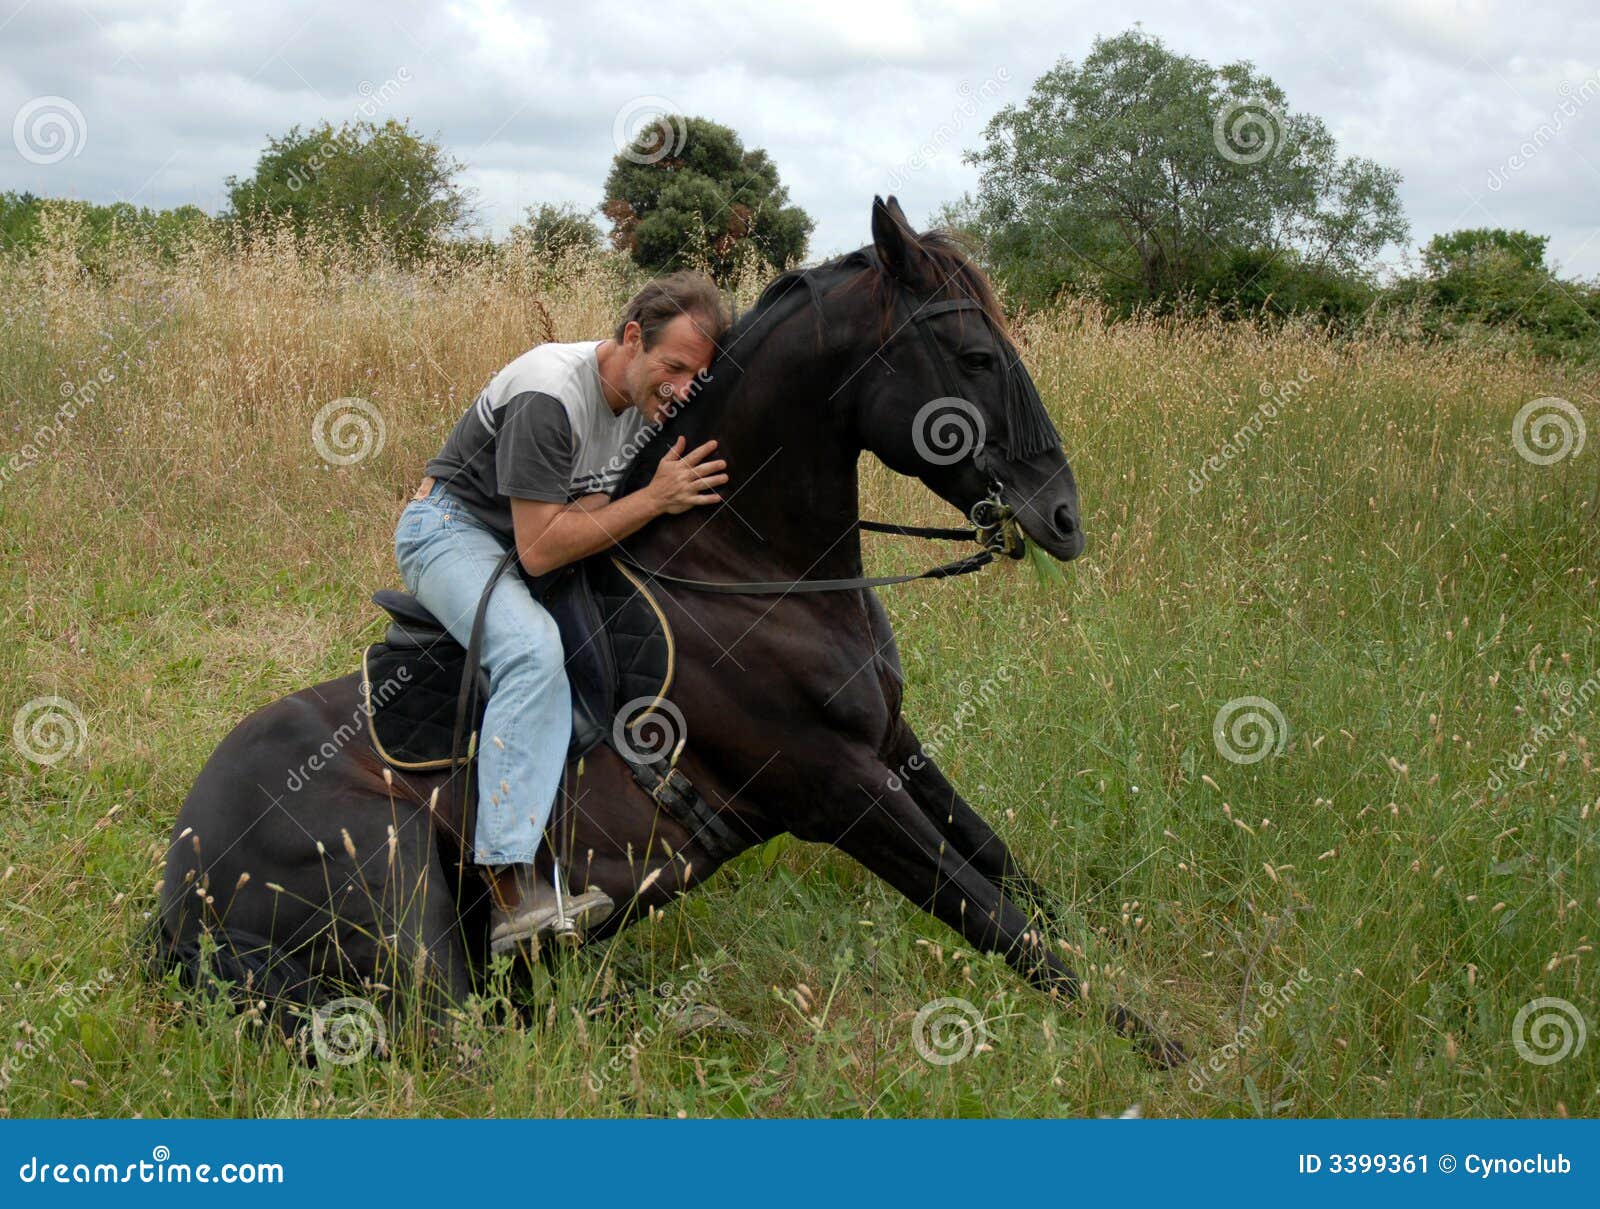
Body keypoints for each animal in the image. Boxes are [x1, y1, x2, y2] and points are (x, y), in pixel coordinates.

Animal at [150, 196, 1185, 1068]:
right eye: (973, 355)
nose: (1062, 516)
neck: (751, 572)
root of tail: (177, 892)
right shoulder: (839, 790)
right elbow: (1000, 924)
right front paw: (1160, 1044)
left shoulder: (894, 742)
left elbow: (1009, 870)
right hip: (397, 878)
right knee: (459, 1037)